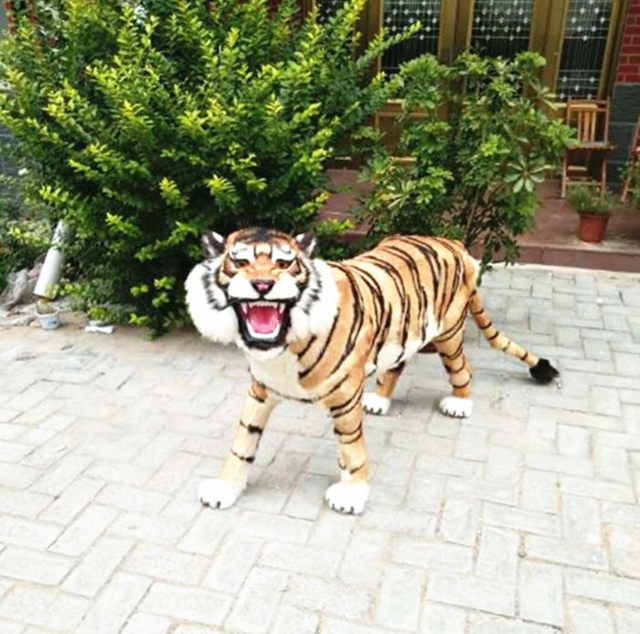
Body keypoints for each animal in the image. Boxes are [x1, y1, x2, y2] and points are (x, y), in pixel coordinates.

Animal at [185, 227, 558, 514]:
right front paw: (224, 489)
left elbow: (351, 448)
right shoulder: (260, 391)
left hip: (449, 333)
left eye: (284, 263)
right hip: (404, 328)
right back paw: (380, 399)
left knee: (461, 368)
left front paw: (350, 495)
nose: (262, 285)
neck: (283, 347)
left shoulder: (344, 396)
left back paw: (459, 403)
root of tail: (453, 242)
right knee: (398, 364)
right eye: (240, 262)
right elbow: (242, 444)